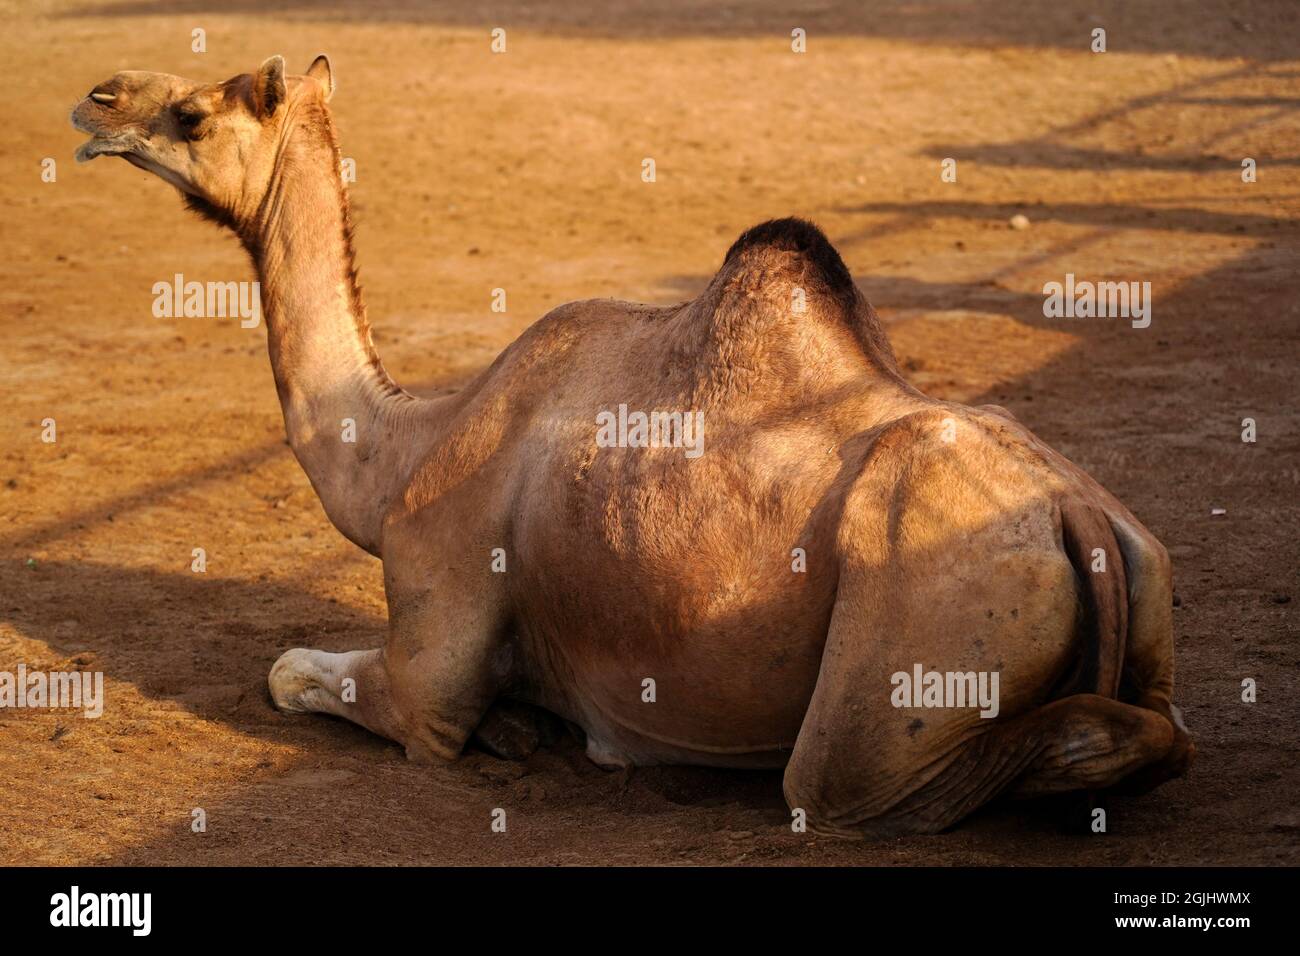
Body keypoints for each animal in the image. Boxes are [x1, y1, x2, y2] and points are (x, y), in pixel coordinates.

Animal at [70, 55, 1193, 837]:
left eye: (192, 112)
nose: (96, 99)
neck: (399, 456)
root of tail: (1083, 522)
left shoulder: (430, 658)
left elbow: (293, 672)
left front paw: (518, 729)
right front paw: (525, 720)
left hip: (889, 686)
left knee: (848, 787)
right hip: (1145, 582)